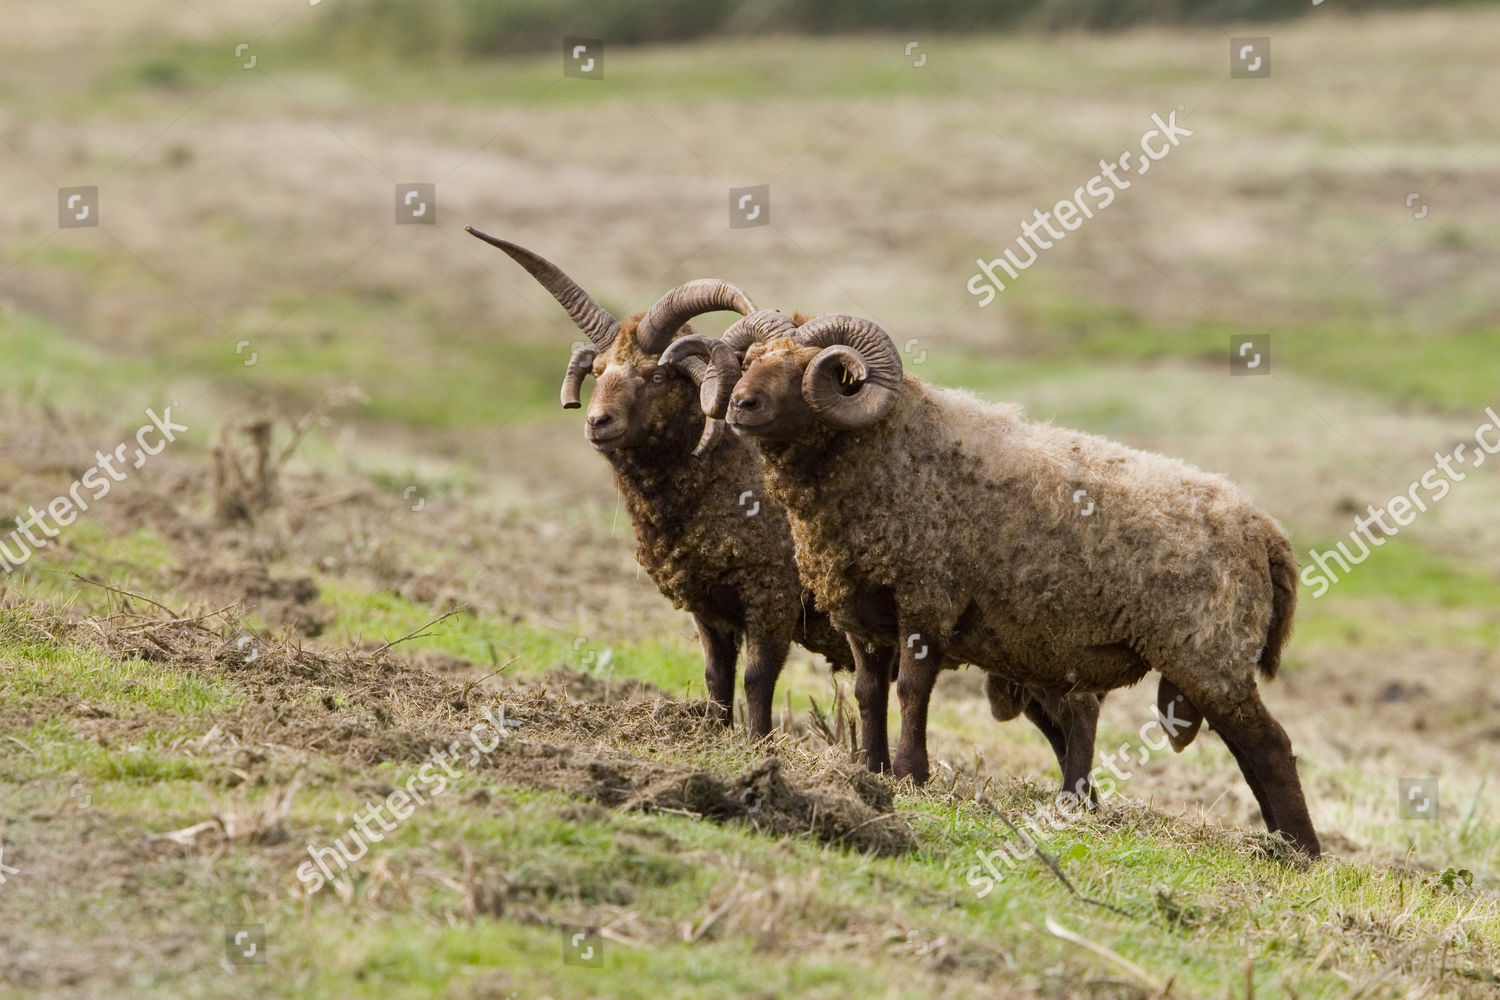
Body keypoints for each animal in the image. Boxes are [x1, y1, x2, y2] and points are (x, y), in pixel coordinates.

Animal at [695, 311, 1321, 856]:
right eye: (749, 359)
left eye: (807, 369)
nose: (741, 405)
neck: (889, 454)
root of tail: (1264, 530)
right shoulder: (861, 612)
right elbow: (869, 692)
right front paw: (870, 770)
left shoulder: (927, 601)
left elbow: (913, 690)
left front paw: (912, 775)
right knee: (1249, 748)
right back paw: (1279, 844)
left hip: (1208, 652)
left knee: (1270, 746)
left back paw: (1301, 853)